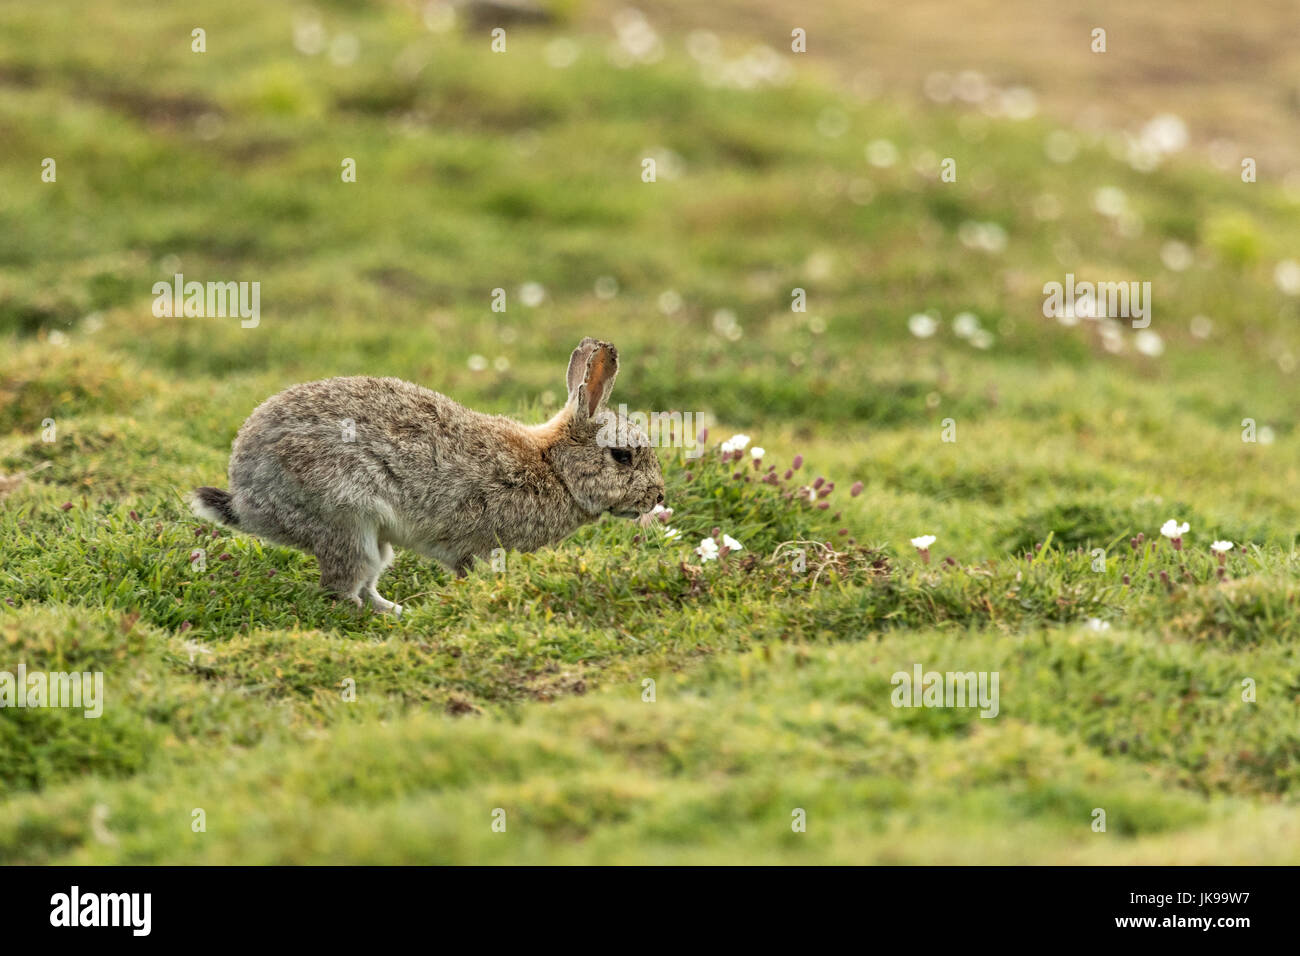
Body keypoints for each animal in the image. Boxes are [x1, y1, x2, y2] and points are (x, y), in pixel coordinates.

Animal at [190, 338, 664, 617]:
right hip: (345, 519)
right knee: (342, 588)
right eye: (622, 456)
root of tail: (246, 498)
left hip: (372, 541)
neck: (553, 466)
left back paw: (400, 611)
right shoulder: (479, 543)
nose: (657, 497)